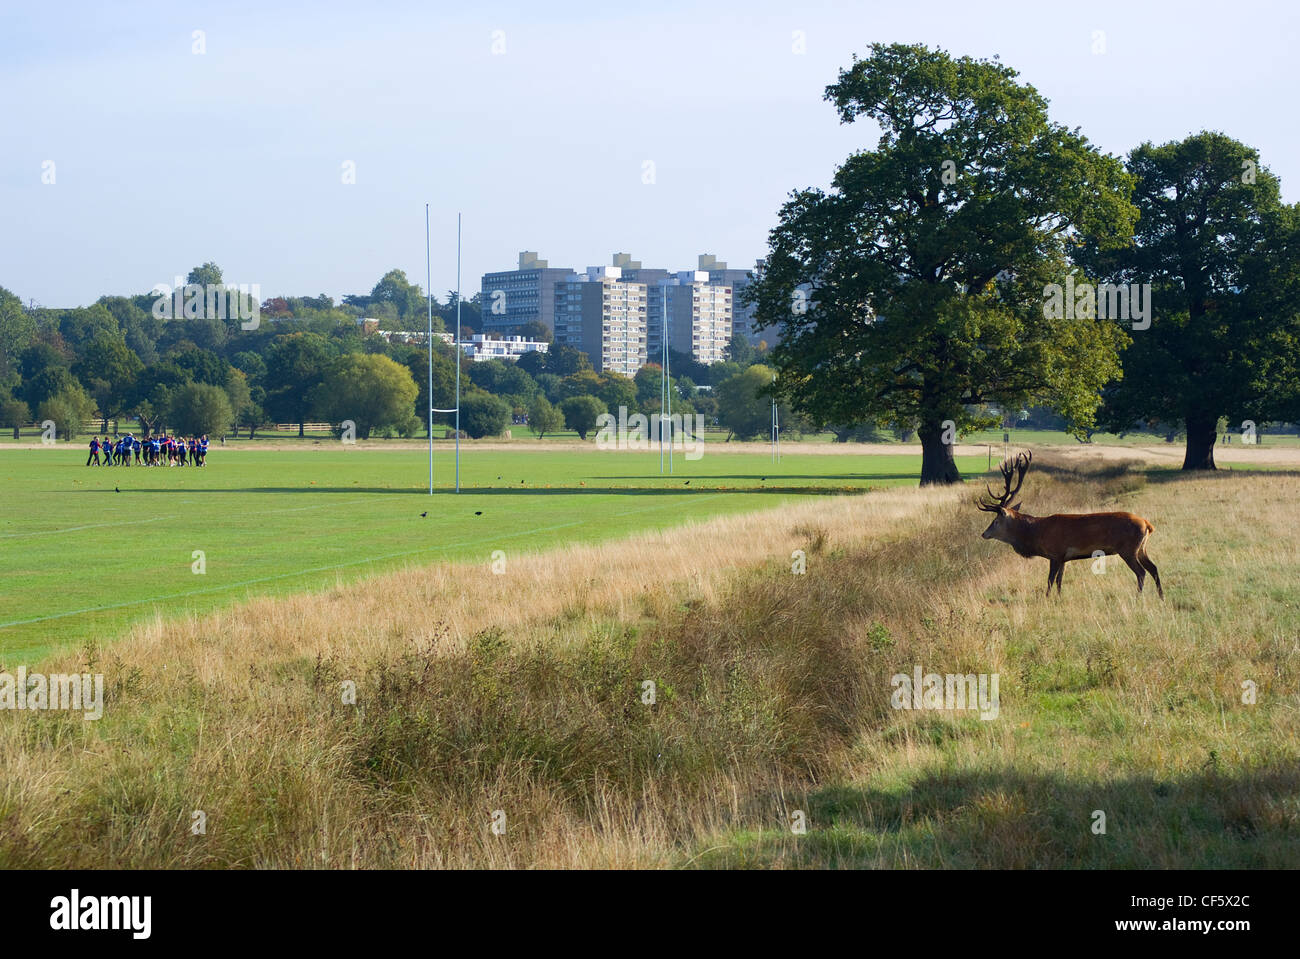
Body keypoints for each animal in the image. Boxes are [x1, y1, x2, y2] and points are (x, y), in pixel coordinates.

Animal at [977, 451, 1162, 599]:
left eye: (995, 521)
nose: (984, 534)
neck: (1036, 534)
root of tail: (1147, 524)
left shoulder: (1055, 553)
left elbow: (1050, 580)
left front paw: (1047, 599)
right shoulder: (1064, 558)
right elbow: (1060, 581)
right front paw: (1059, 598)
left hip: (1128, 548)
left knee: (1141, 572)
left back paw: (1138, 597)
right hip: (1141, 548)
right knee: (1153, 568)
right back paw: (1161, 596)